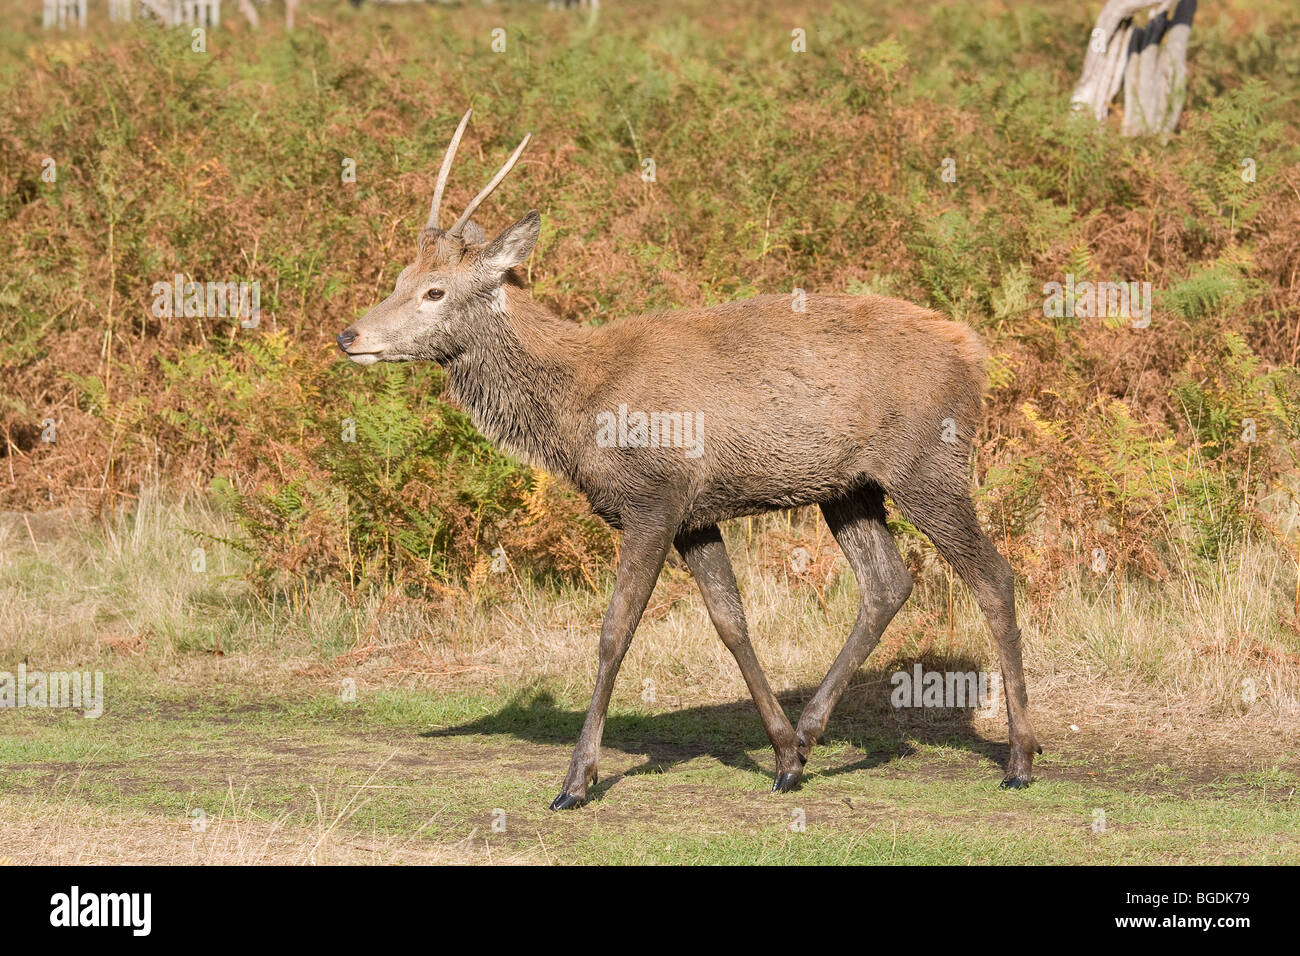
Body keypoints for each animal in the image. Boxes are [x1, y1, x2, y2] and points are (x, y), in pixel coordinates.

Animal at [337, 109, 1041, 810]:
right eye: (397, 280)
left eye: (434, 291)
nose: (349, 335)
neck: (576, 411)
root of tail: (978, 353)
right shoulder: (696, 514)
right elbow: (731, 622)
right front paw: (783, 755)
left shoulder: (654, 497)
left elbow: (615, 630)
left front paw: (575, 780)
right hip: (849, 487)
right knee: (887, 583)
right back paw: (810, 735)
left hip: (929, 467)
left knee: (993, 577)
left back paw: (1020, 758)